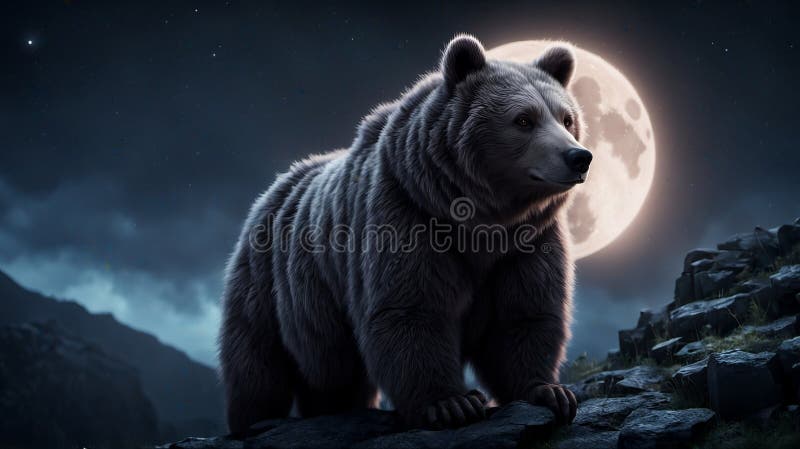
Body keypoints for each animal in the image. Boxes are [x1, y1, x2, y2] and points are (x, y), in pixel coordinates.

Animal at [219, 34, 592, 433]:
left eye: (566, 118)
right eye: (524, 119)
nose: (579, 157)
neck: (482, 219)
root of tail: (277, 185)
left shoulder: (525, 242)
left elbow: (524, 315)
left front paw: (549, 391)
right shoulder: (406, 215)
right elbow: (410, 310)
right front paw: (452, 403)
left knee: (335, 379)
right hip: (270, 282)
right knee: (257, 360)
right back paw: (253, 419)